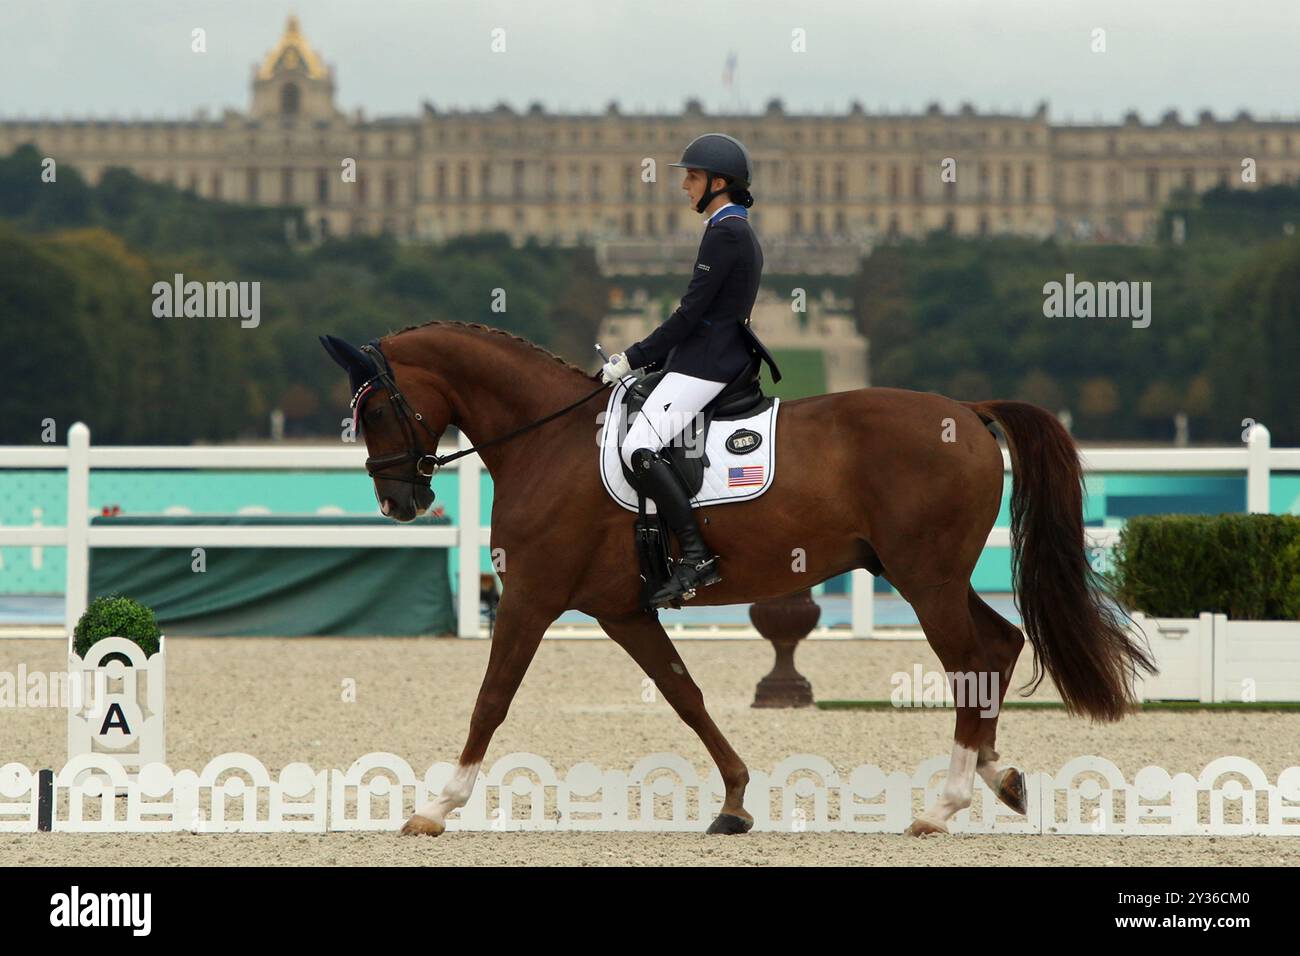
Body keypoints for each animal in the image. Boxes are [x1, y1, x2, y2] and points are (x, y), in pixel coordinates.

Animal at [321, 320, 1156, 837]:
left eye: (377, 413)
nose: (400, 503)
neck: (548, 440)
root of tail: (966, 410)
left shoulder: (531, 597)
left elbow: (491, 699)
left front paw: (438, 804)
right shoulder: (624, 611)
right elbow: (684, 696)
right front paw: (734, 802)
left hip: (926, 578)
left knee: (970, 658)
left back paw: (942, 804)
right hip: (924, 574)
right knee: (999, 646)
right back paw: (997, 777)